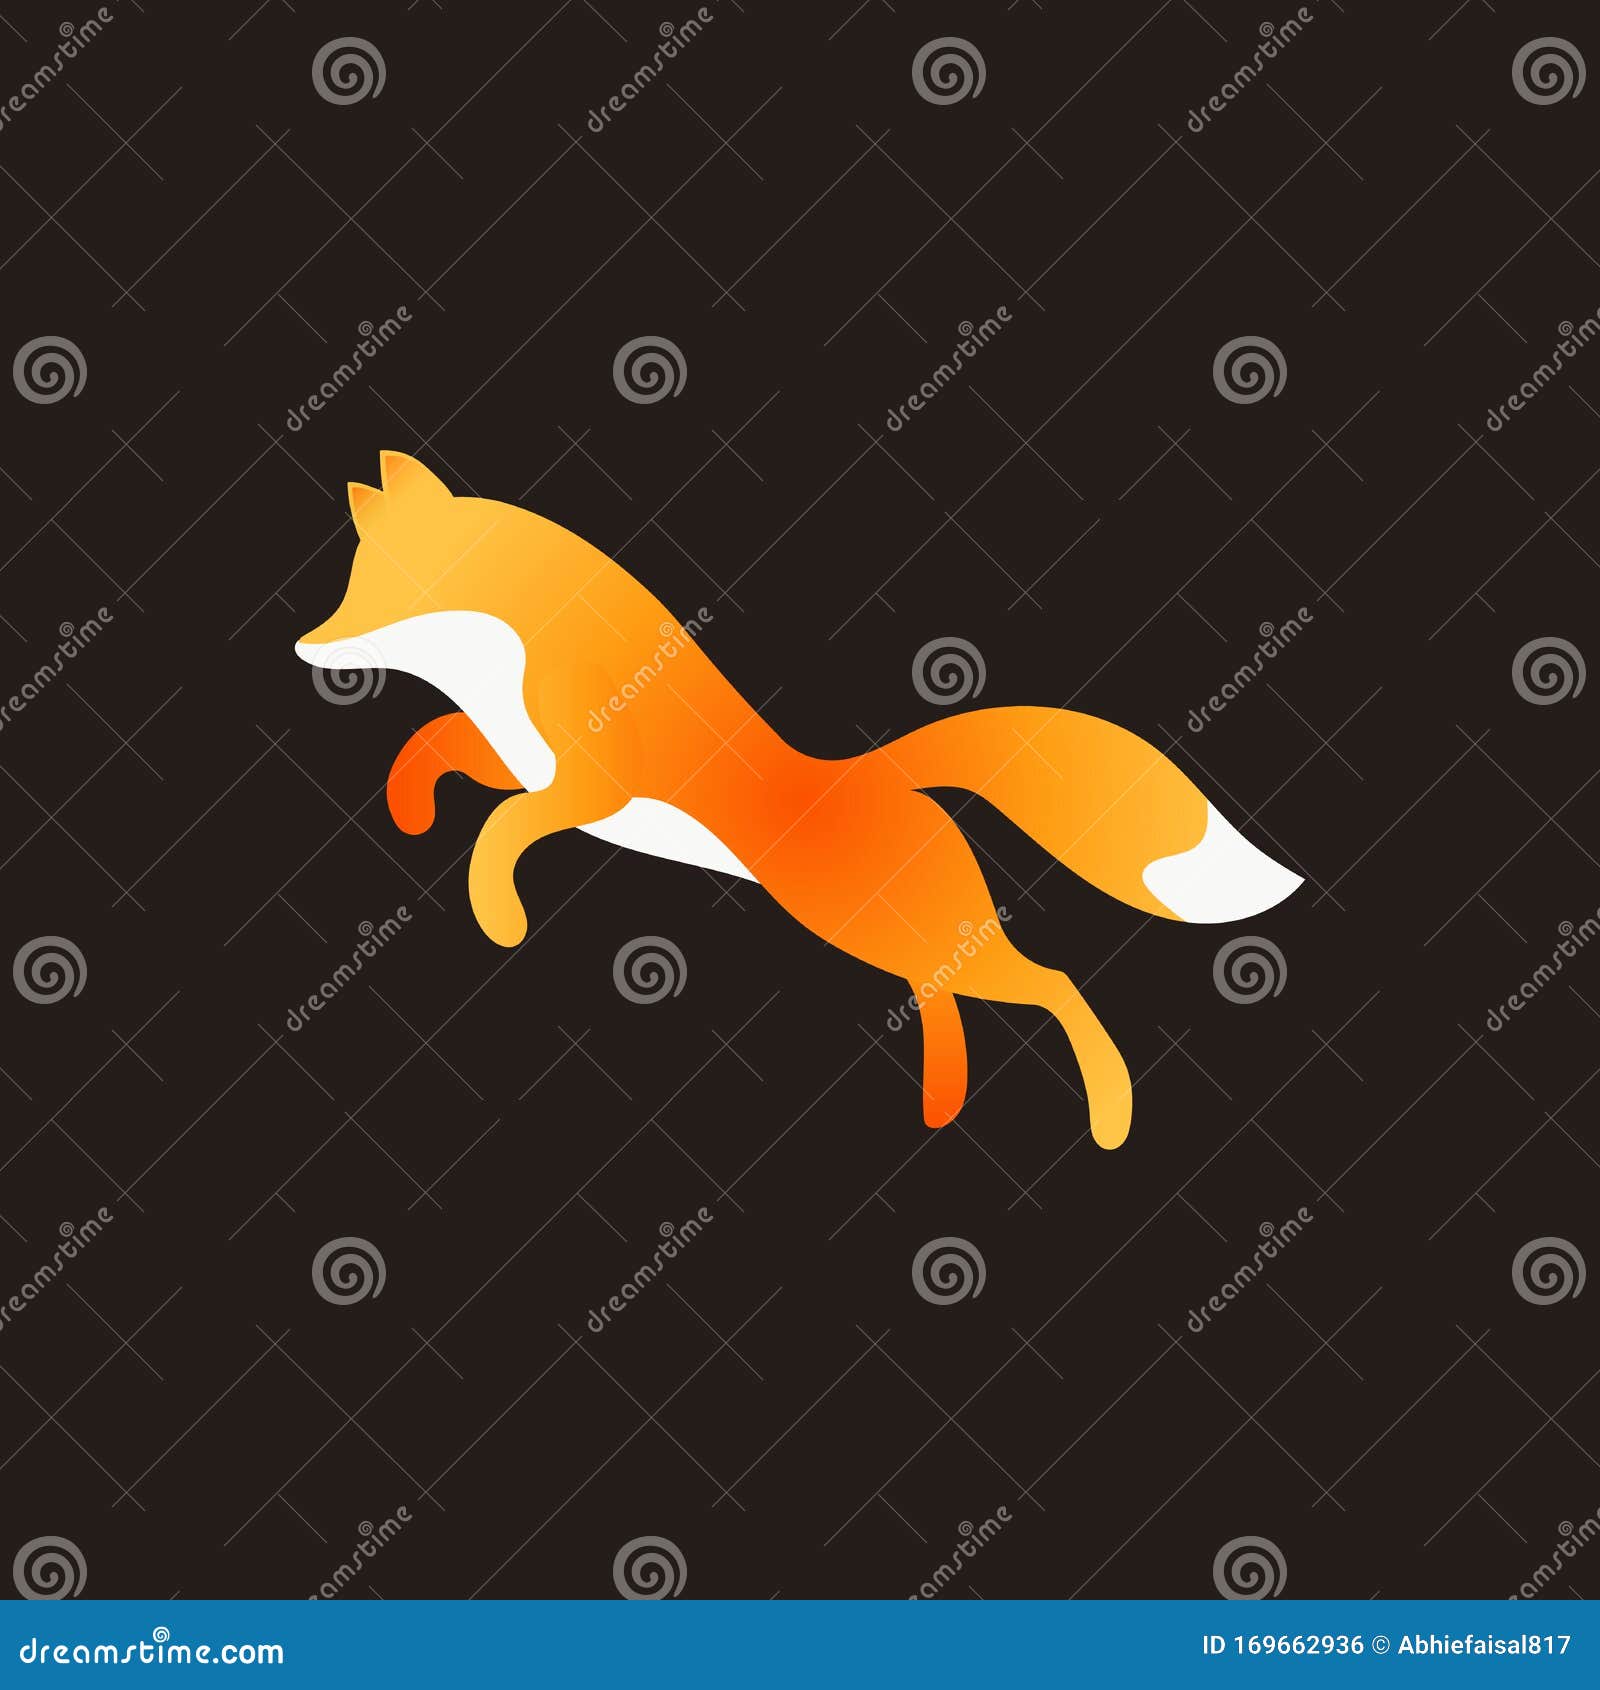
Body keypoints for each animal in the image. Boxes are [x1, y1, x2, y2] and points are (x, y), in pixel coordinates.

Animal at [296, 452, 1301, 1149]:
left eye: (378, 584)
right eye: (350, 582)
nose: (306, 647)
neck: (518, 640)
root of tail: (882, 772)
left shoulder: (589, 786)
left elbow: (500, 834)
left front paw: (498, 916)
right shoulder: (529, 764)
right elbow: (437, 751)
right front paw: (412, 808)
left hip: (885, 926)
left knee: (1049, 982)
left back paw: (1108, 1118)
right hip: (899, 938)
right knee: (950, 997)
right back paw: (941, 1107)